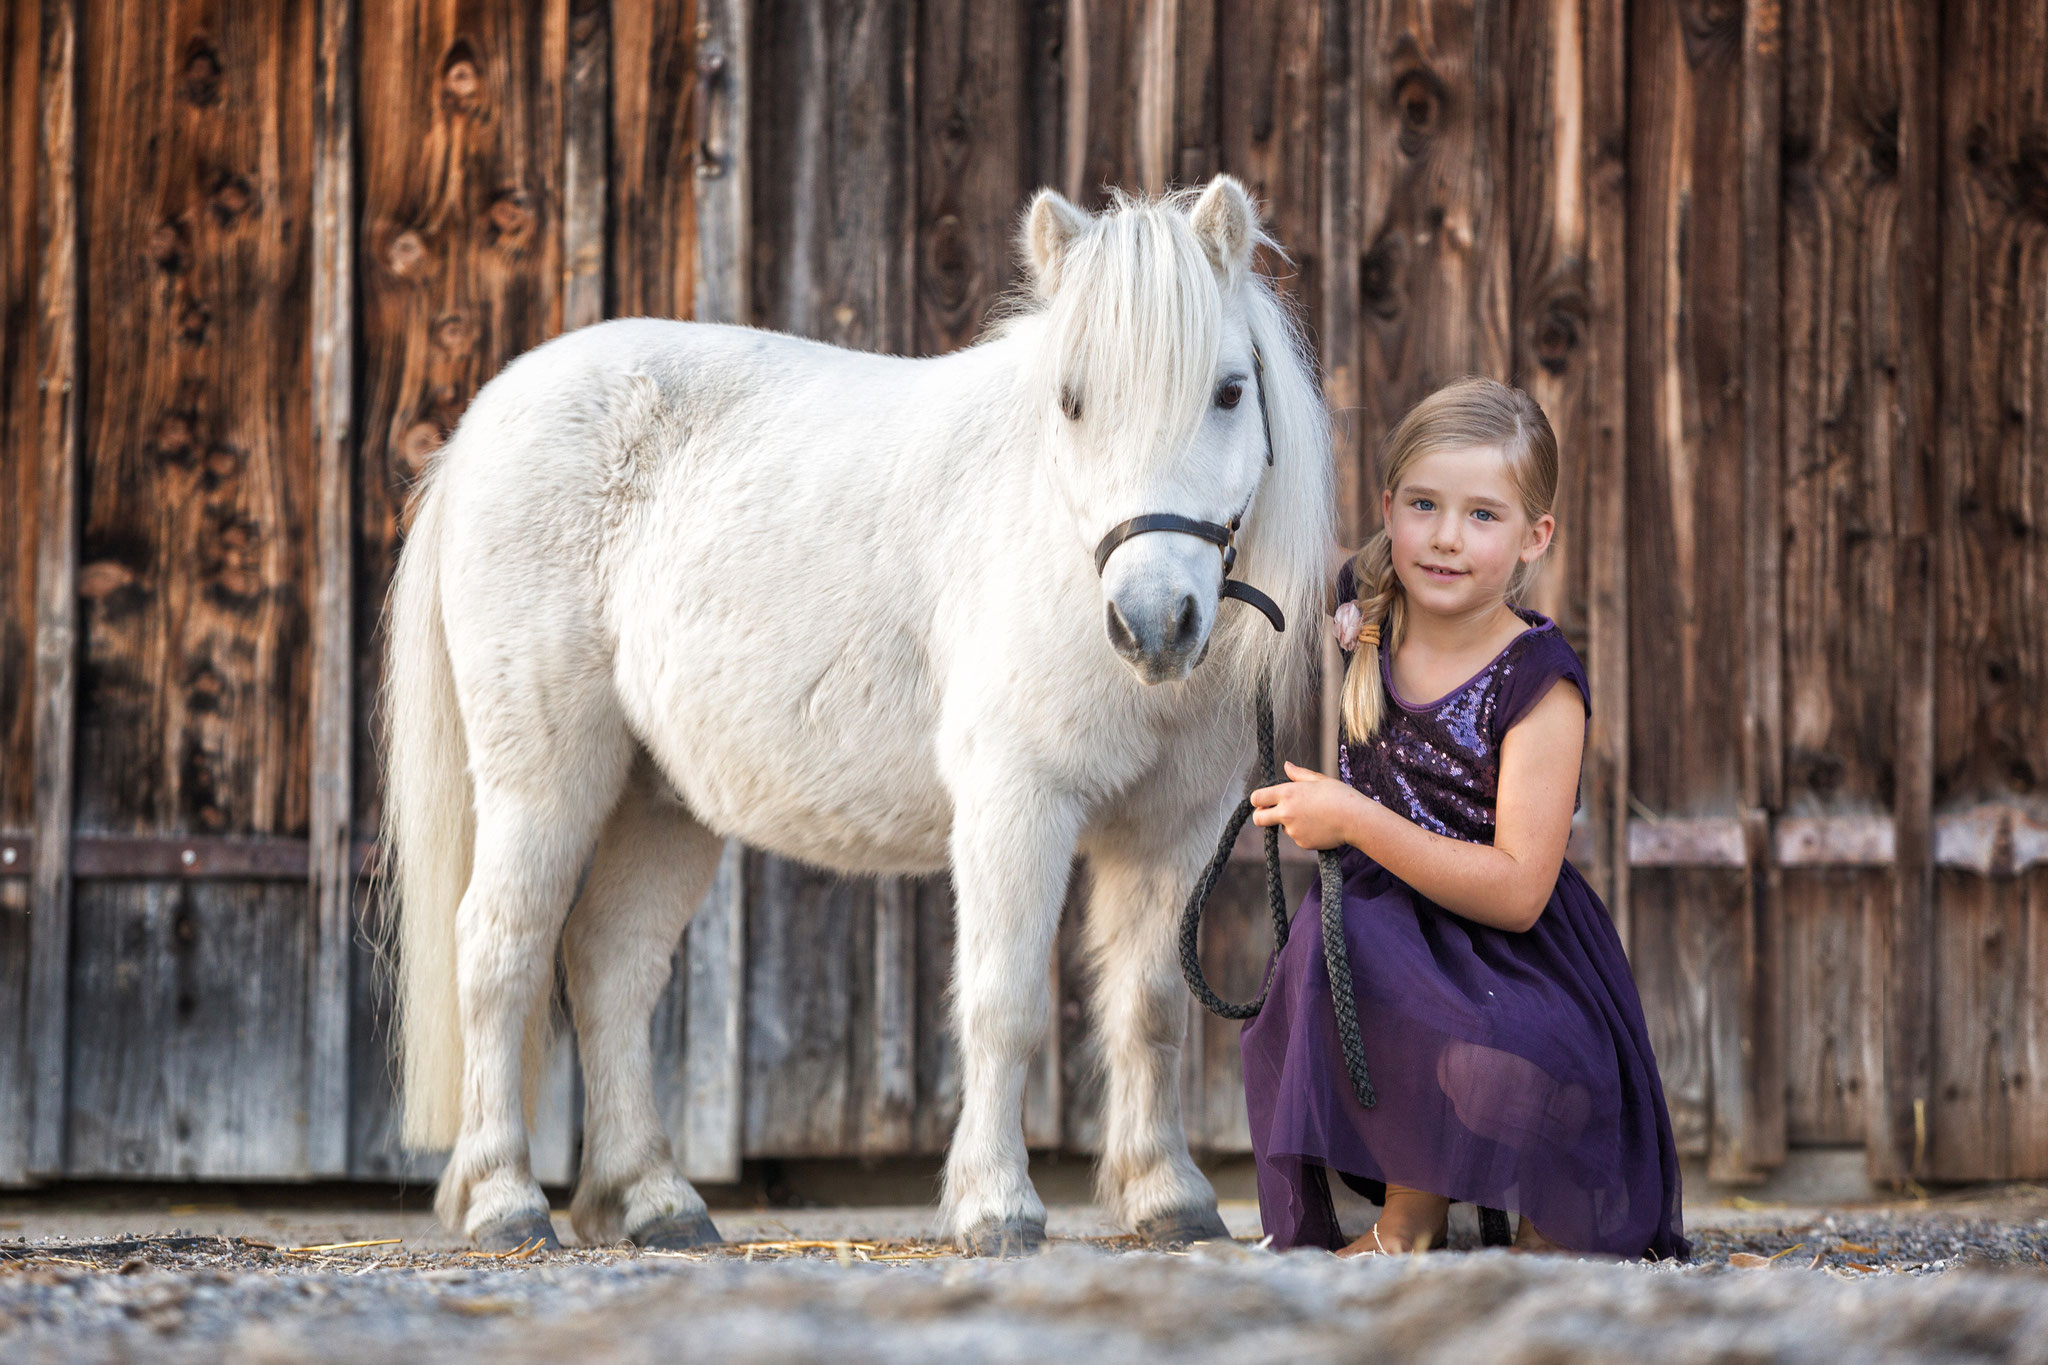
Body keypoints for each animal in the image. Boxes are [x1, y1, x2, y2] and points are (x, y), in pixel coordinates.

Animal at [375, 172, 1334, 1254]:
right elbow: (1003, 1003)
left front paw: (1166, 1195)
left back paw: (652, 1199)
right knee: (500, 950)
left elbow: (1152, 1003)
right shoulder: (1016, 805)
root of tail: (484, 423)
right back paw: (504, 1199)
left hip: (659, 799)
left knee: (609, 962)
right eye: (1071, 400)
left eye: (1228, 391)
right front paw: (996, 1204)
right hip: (543, 779)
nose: (1154, 620)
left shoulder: (1173, 829)